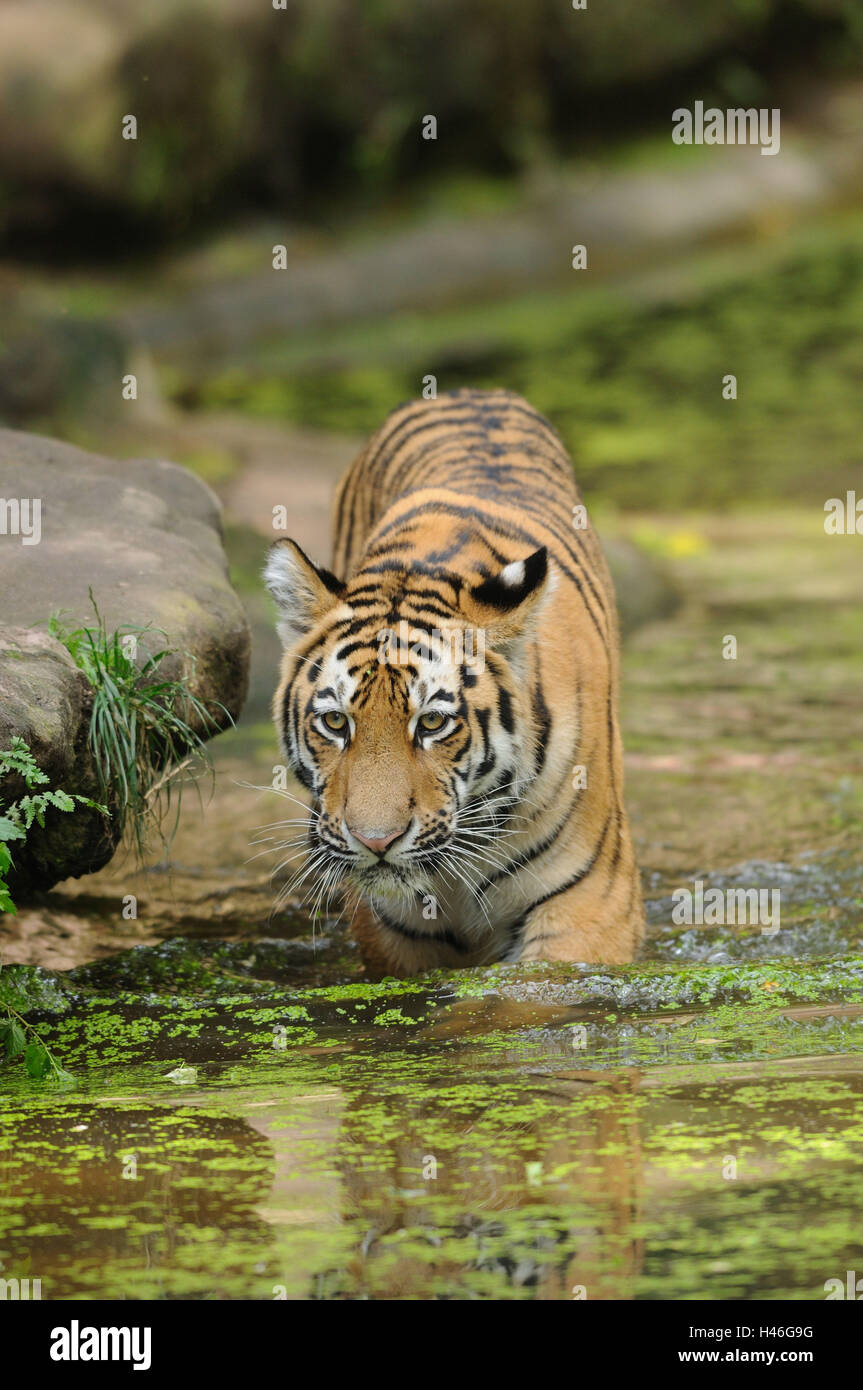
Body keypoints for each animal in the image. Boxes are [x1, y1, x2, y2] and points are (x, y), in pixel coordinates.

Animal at [264, 388, 644, 977]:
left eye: (433, 724)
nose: (376, 841)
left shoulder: (588, 903)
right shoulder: (392, 932)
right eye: (334, 722)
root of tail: (472, 392)